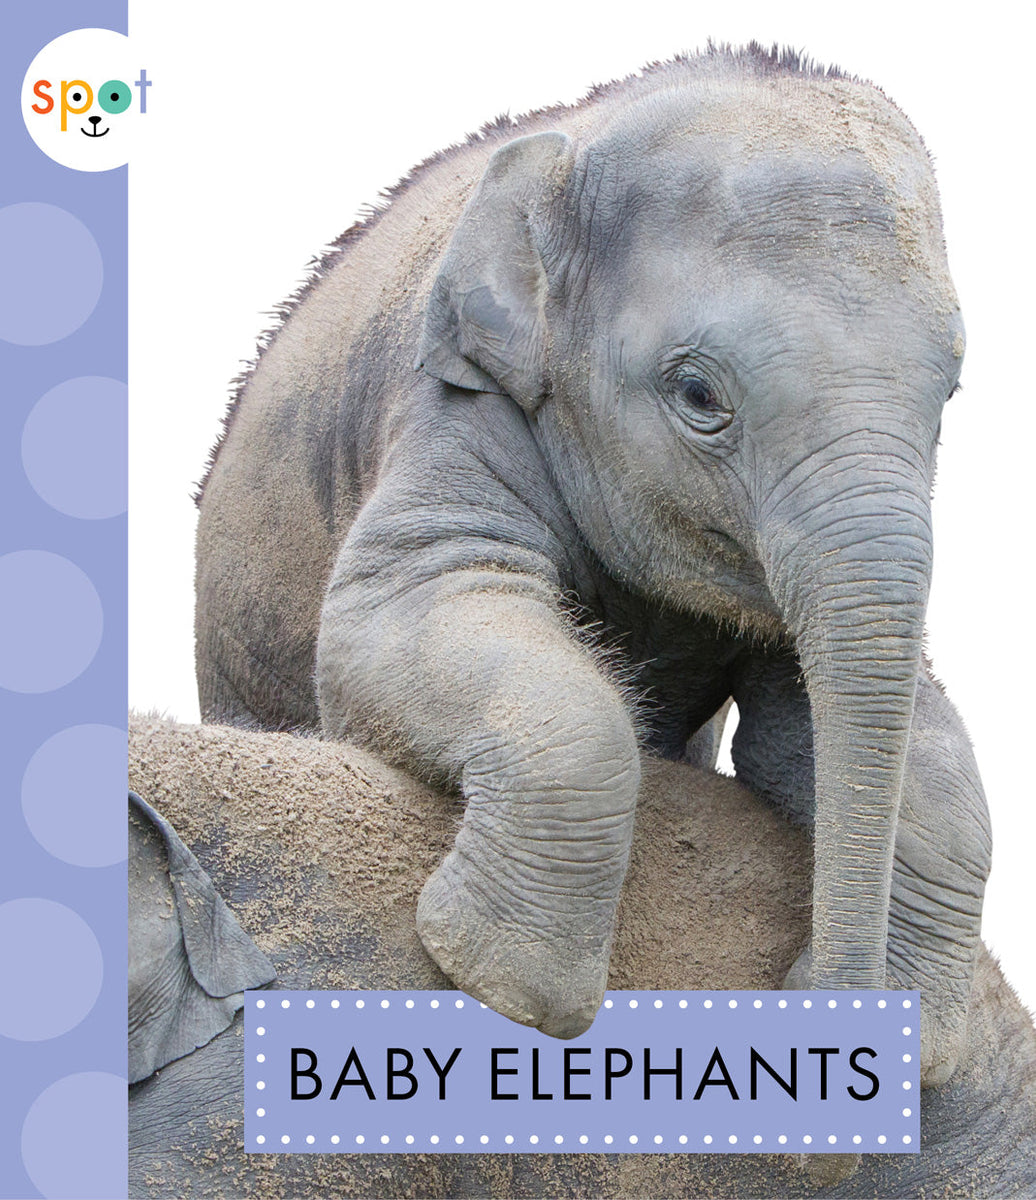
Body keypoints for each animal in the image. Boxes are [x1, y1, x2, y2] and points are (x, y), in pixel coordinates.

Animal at [194, 43, 992, 1092]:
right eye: (698, 394)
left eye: (951, 393)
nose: (819, 993)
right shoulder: (457, 396)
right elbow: (401, 612)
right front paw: (497, 977)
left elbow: (839, 725)